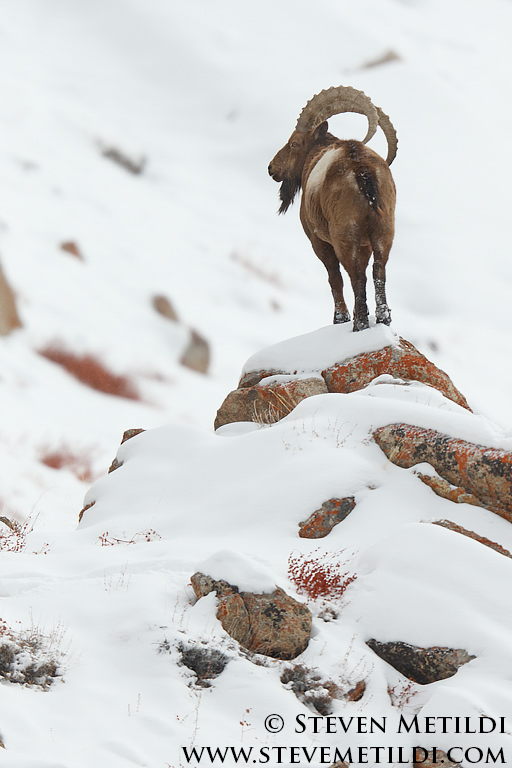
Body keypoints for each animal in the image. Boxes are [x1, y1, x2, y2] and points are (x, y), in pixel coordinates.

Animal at [268, 85, 398, 331]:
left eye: (294, 143)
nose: (271, 168)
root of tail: (361, 170)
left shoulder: (318, 240)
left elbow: (333, 277)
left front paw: (340, 318)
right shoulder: (365, 244)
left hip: (343, 235)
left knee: (355, 277)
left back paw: (359, 325)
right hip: (383, 229)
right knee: (378, 271)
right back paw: (383, 320)